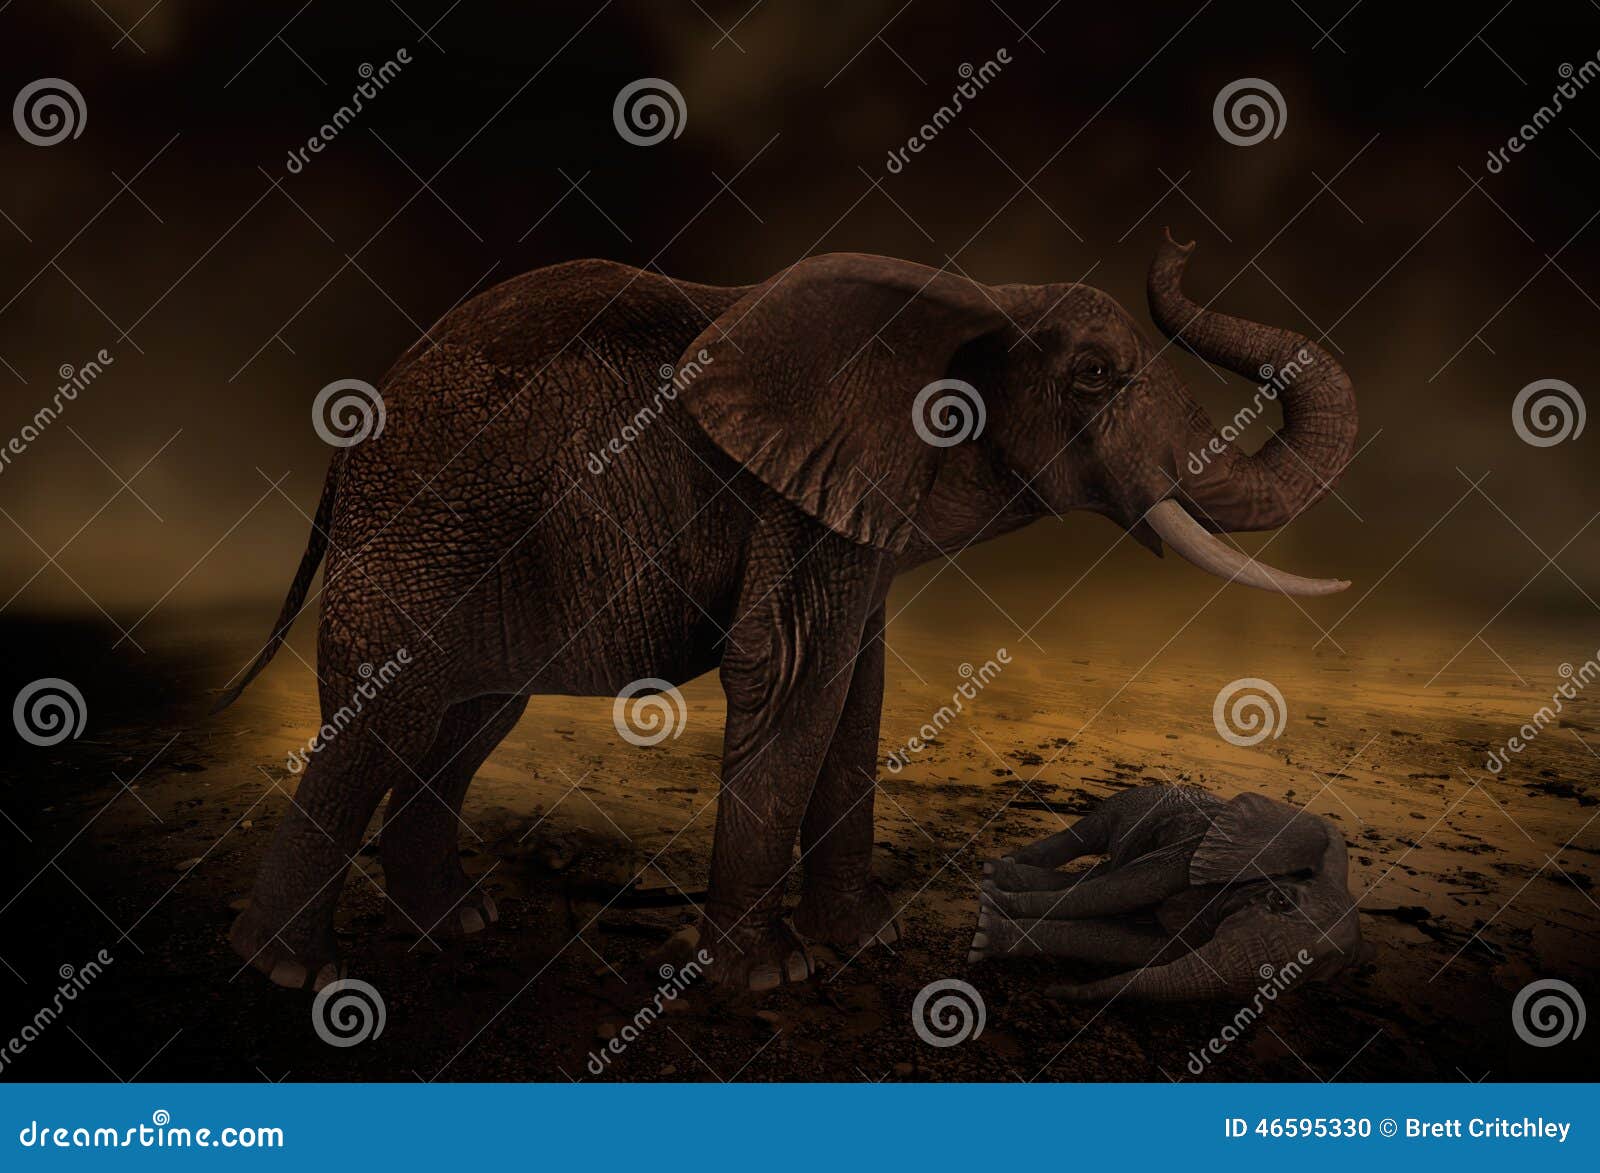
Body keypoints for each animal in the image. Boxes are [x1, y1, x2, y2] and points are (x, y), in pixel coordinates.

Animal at [968, 784, 1363, 1000]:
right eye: (1280, 900)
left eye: (1319, 977)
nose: (1052, 992)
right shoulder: (1199, 849)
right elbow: (1128, 887)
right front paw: (989, 905)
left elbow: (1138, 946)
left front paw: (986, 929)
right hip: (1131, 800)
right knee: (1090, 840)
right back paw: (996, 868)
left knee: (1102, 869)